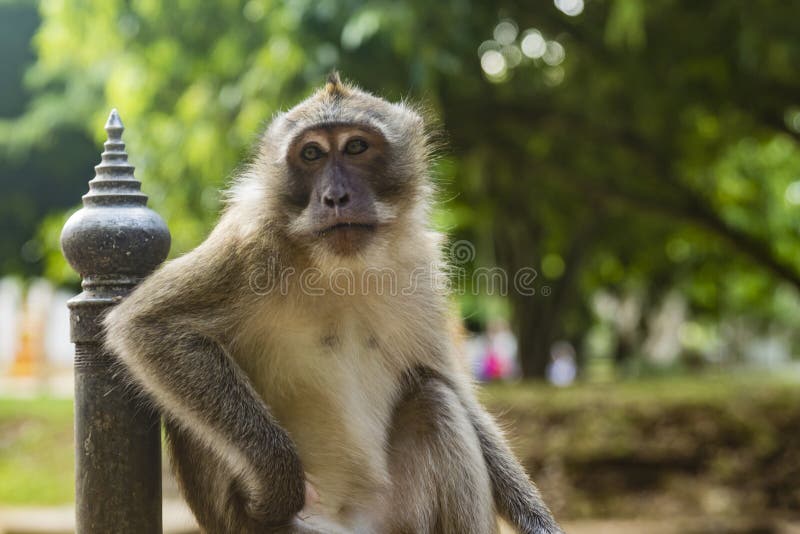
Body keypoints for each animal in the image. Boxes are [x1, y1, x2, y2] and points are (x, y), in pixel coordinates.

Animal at [103, 73, 563, 534]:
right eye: (311, 154)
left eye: (356, 147)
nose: (335, 196)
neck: (341, 267)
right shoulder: (249, 245)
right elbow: (149, 326)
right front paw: (279, 483)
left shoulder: (422, 268)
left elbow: (448, 383)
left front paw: (537, 523)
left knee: (436, 401)